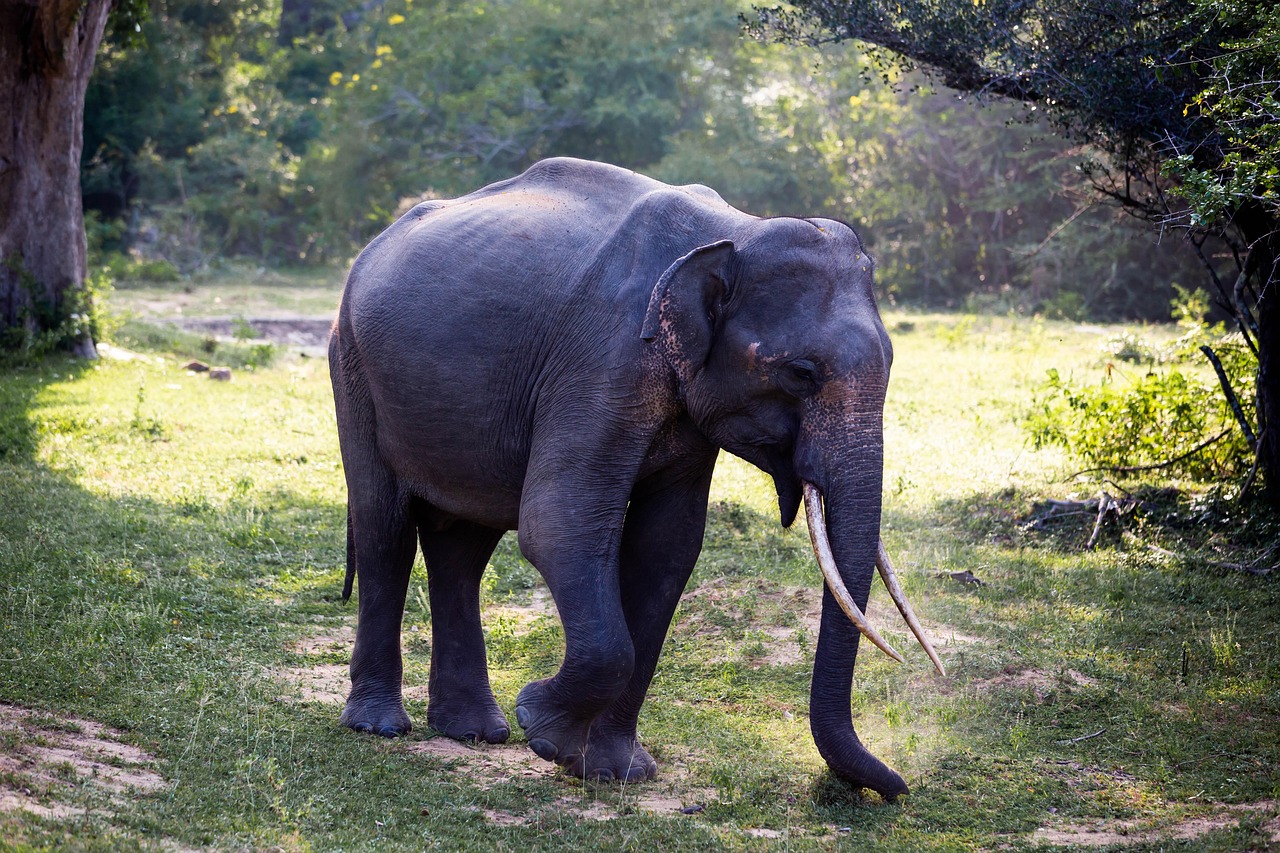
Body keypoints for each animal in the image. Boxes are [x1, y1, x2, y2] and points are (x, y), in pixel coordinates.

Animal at [328, 157, 942, 801]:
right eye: (801, 372)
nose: (895, 787)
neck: (735, 232)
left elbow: (667, 548)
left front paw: (613, 771)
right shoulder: (601, 361)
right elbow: (559, 525)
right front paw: (542, 730)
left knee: (462, 546)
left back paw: (474, 732)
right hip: (352, 365)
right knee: (384, 530)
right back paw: (381, 726)